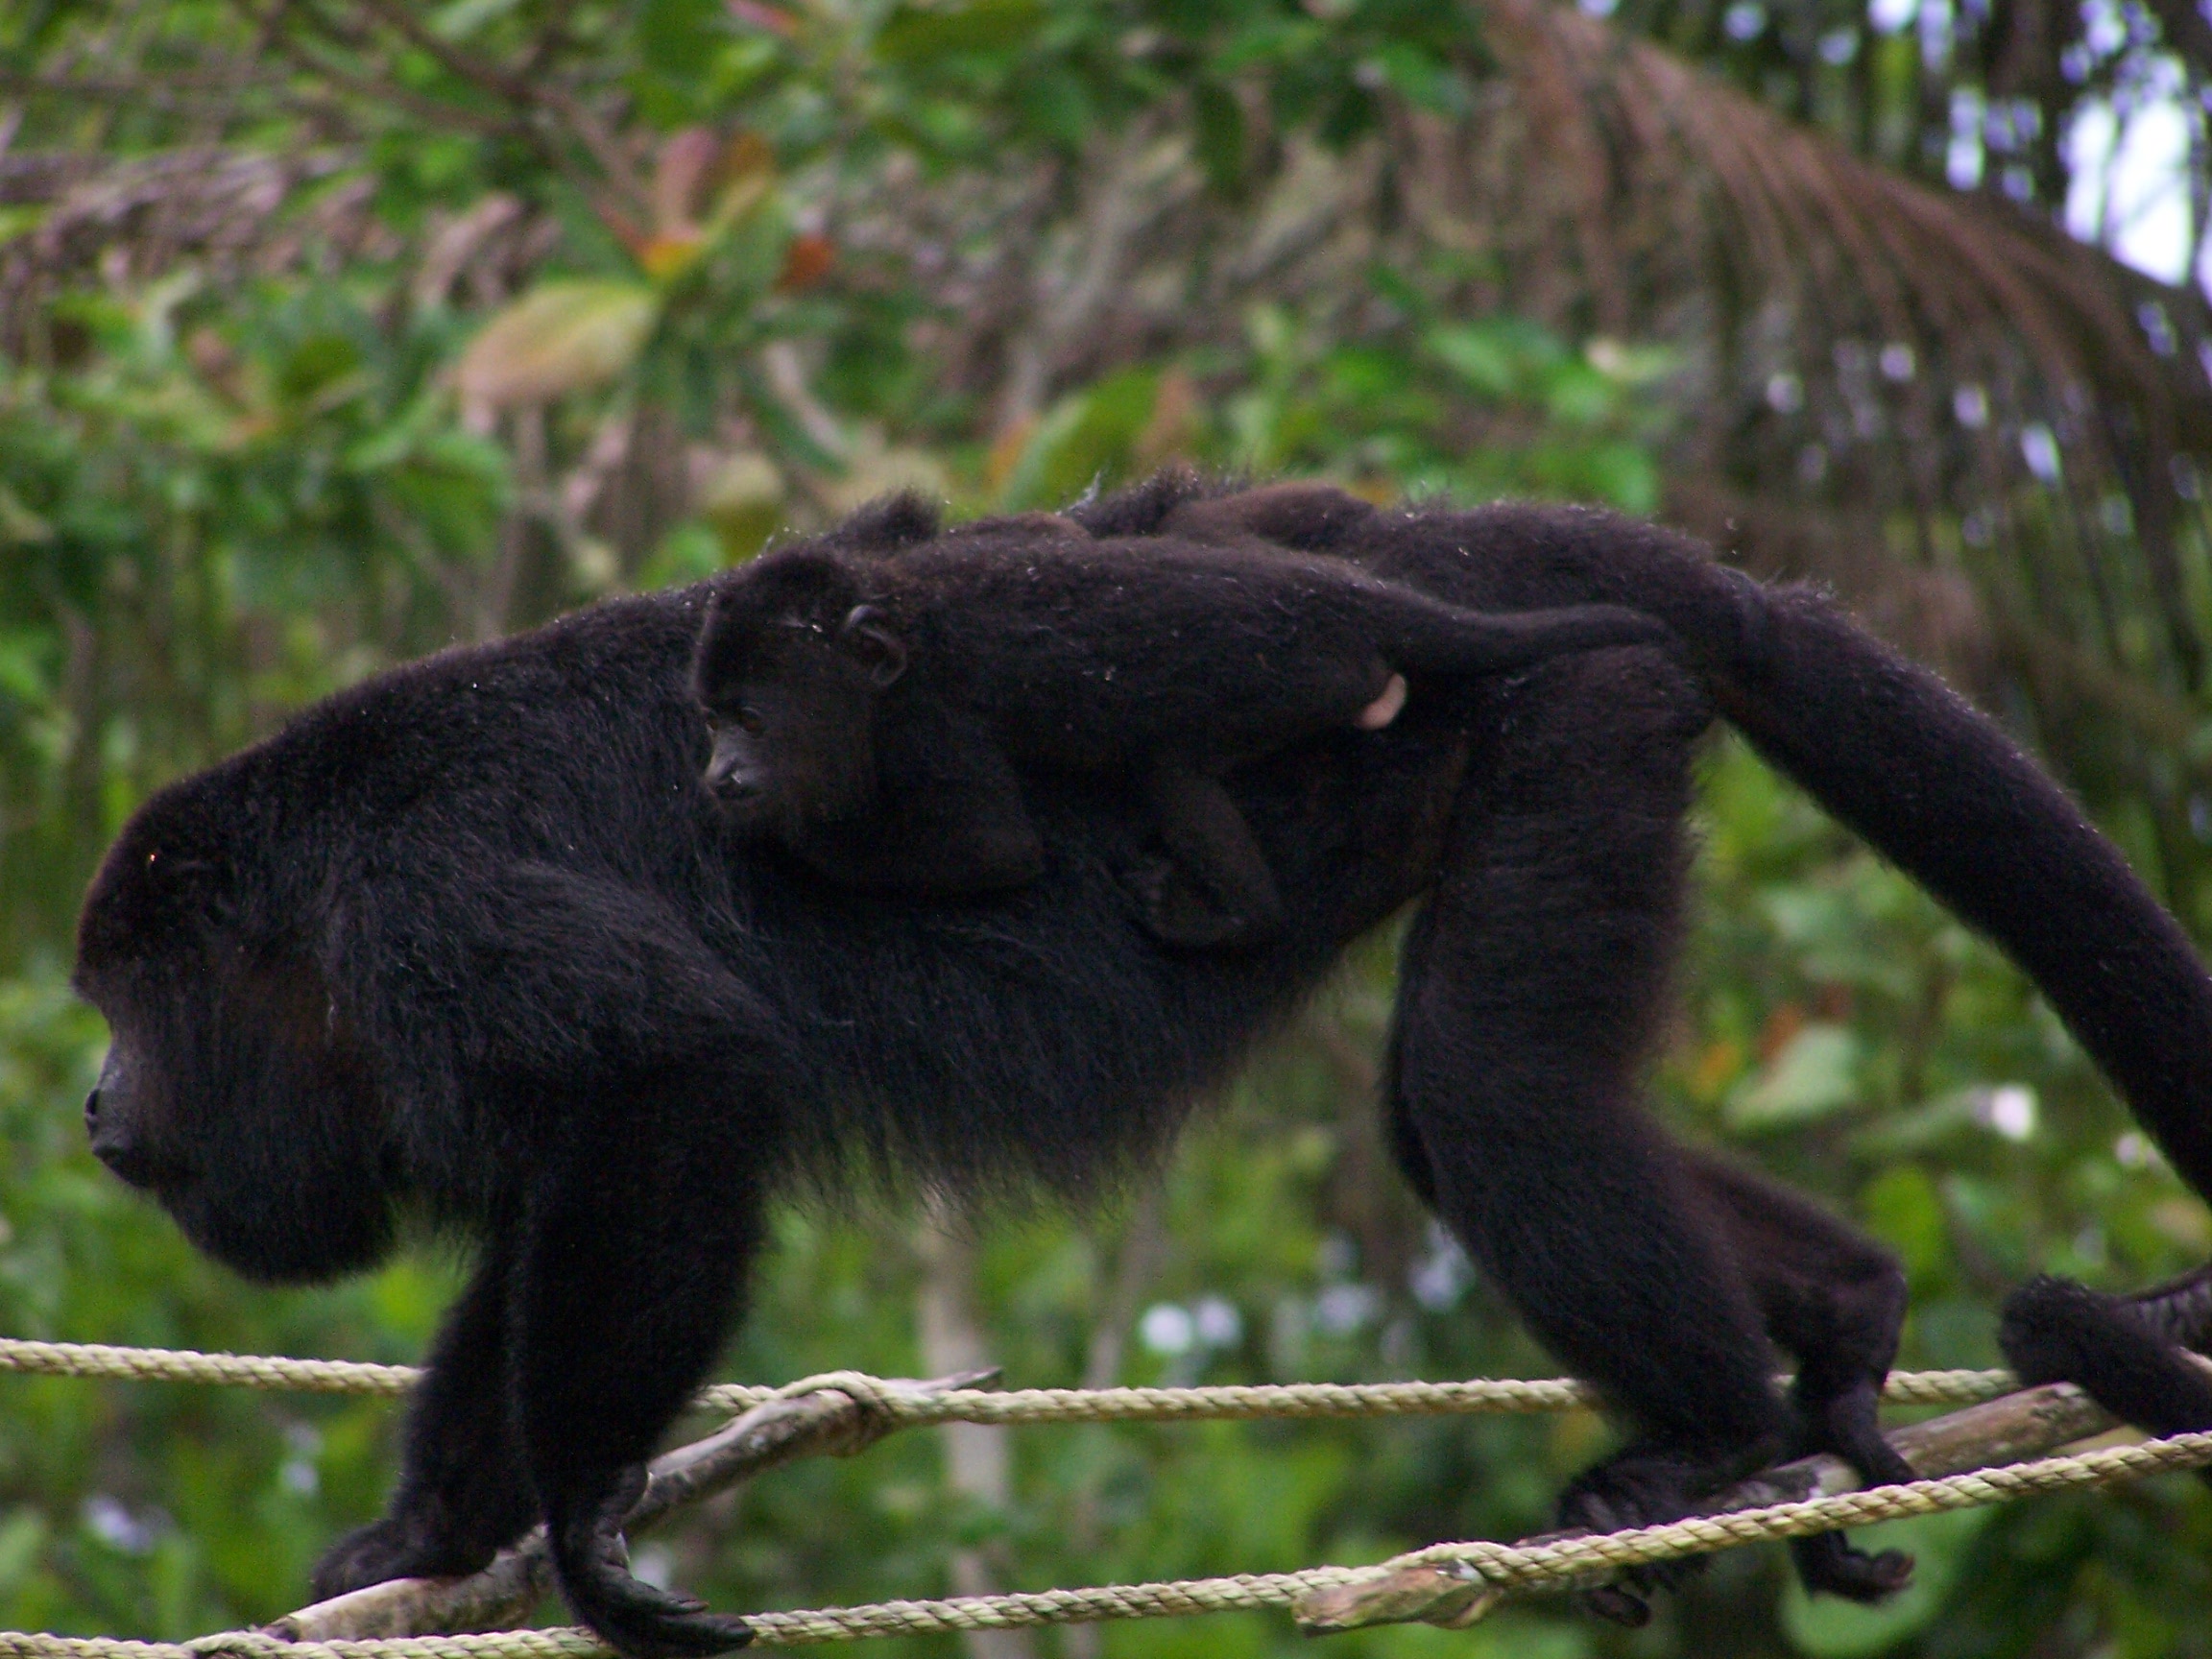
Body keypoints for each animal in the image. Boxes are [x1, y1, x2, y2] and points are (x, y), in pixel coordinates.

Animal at [690, 495, 1675, 946]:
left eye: (750, 719)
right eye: (709, 718)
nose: (719, 775)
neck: (897, 630)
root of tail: (1344, 599)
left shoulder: (931, 724)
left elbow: (996, 850)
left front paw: (791, 837)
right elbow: (1056, 535)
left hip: (1304, 680)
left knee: (1167, 769)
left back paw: (1238, 919)